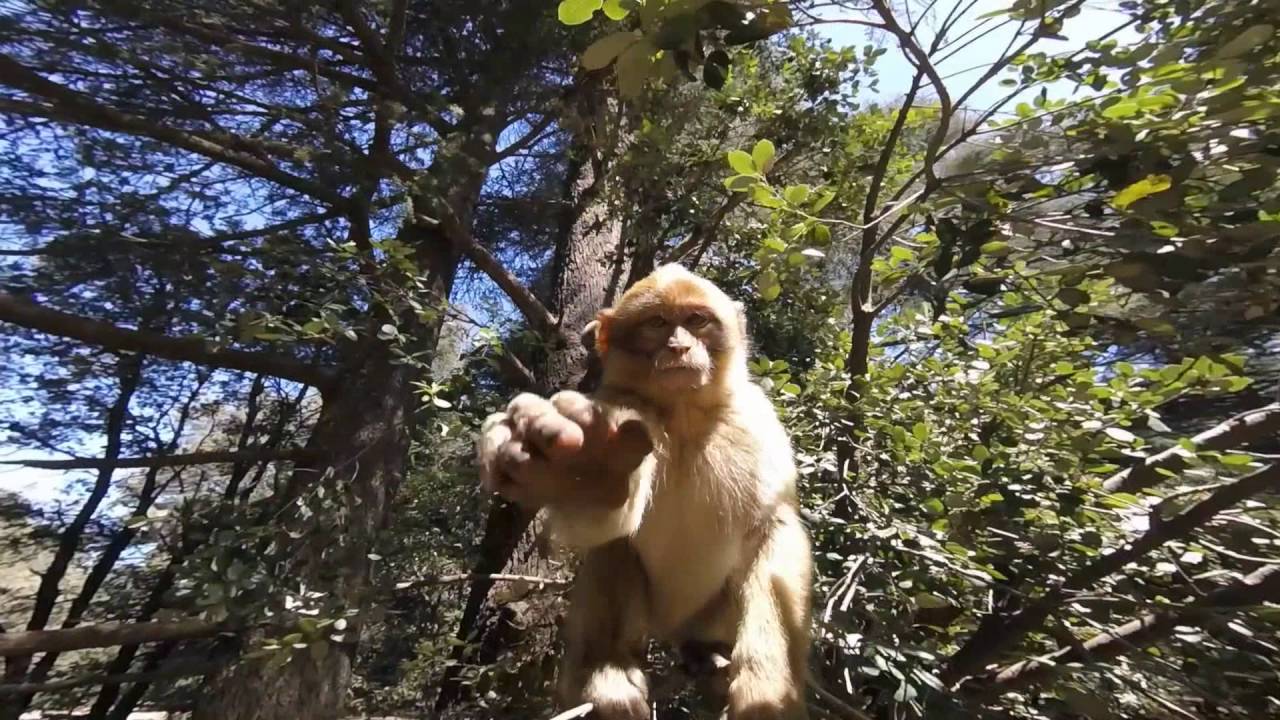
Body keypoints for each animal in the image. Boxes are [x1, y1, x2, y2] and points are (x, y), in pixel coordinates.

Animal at [477, 264, 812, 720]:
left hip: (708, 615)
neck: (684, 414)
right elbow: (602, 525)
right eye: (657, 324)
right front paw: (586, 470)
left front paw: (767, 690)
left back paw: (702, 653)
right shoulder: (618, 407)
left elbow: (774, 528)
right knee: (615, 550)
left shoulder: (755, 421)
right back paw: (610, 673)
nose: (679, 346)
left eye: (696, 320)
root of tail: (670, 626)